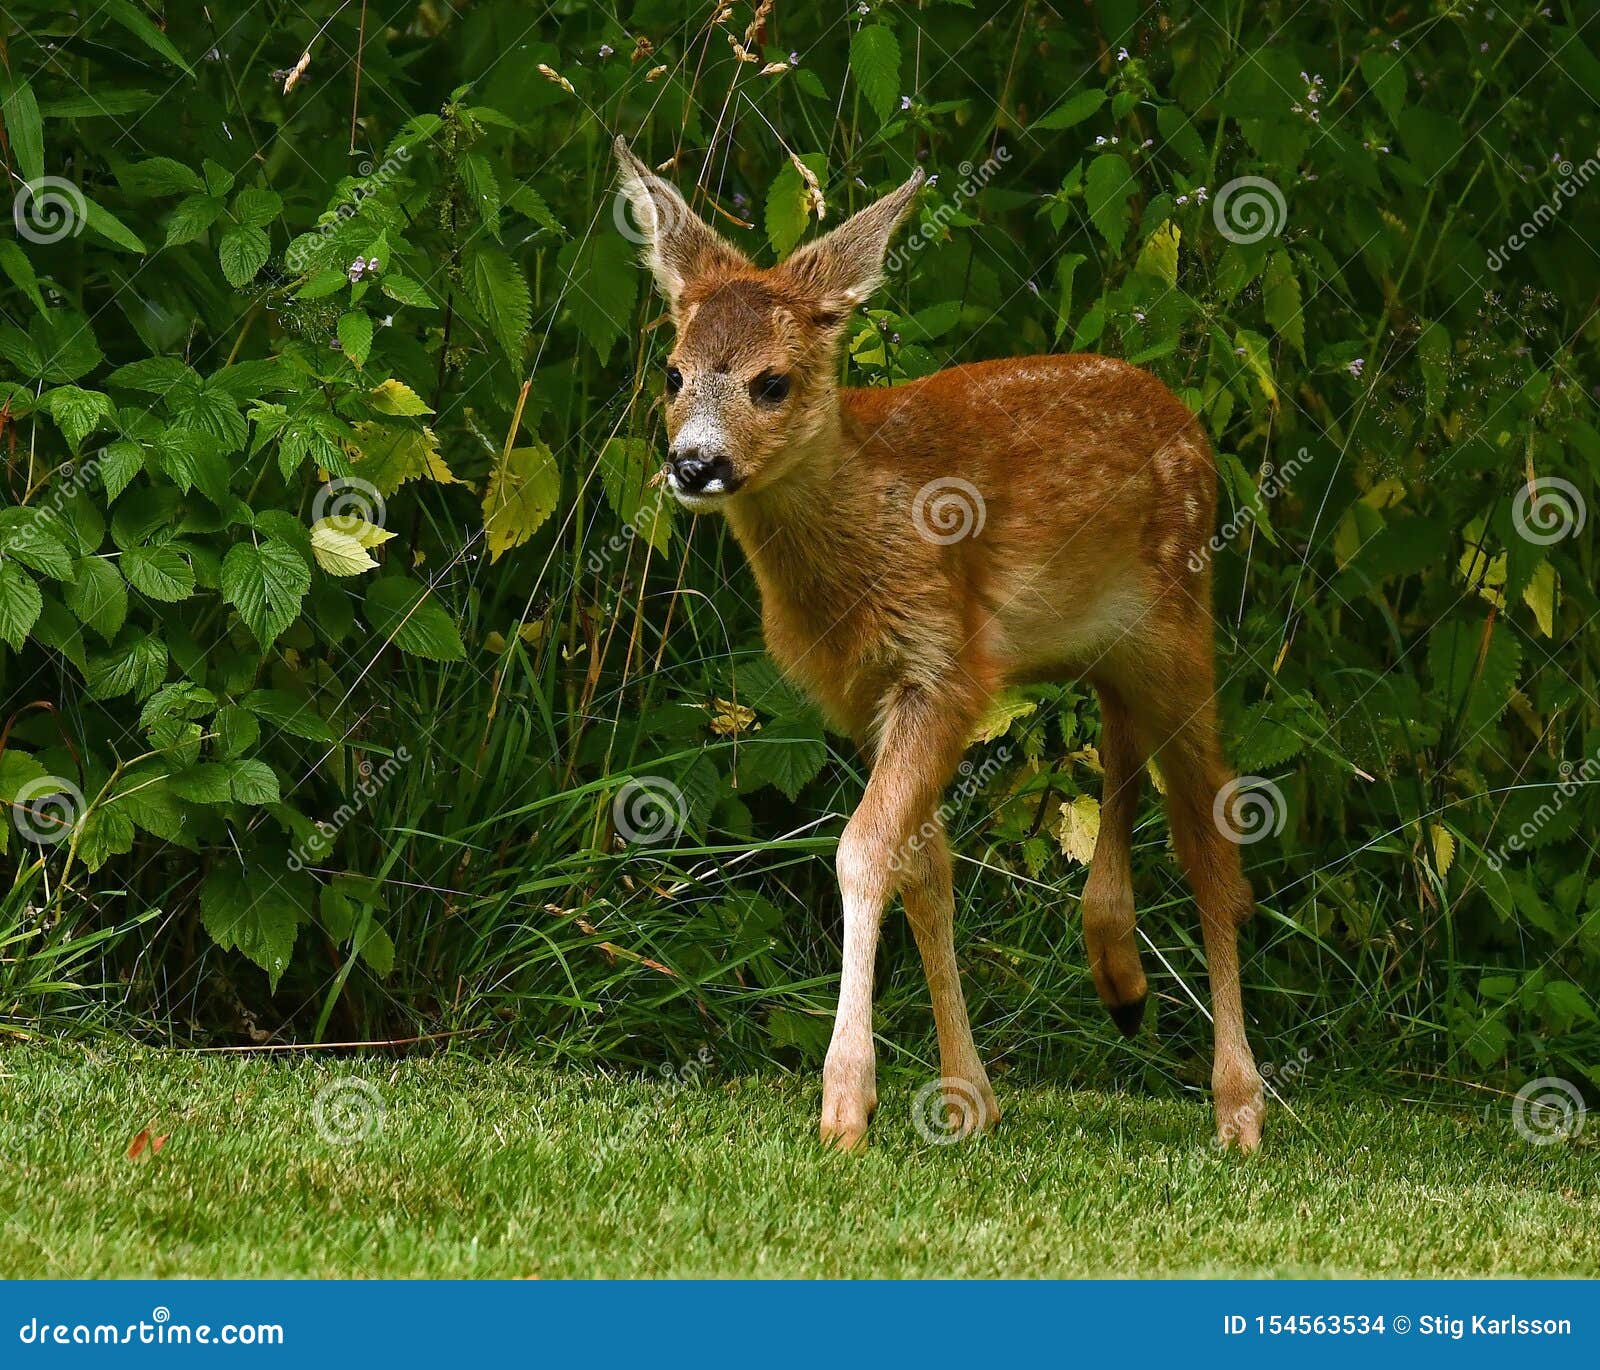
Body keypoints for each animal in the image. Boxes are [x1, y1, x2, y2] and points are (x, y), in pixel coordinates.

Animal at [614, 138, 1265, 1152]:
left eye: (773, 382)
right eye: (675, 373)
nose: (694, 464)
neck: (862, 522)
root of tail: (1187, 418)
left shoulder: (942, 664)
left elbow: (862, 849)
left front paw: (846, 1103)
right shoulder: (866, 692)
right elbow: (925, 868)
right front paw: (968, 1099)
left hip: (1181, 626)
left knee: (1210, 844)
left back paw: (1238, 1107)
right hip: (1119, 650)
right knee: (1123, 755)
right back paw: (1118, 977)